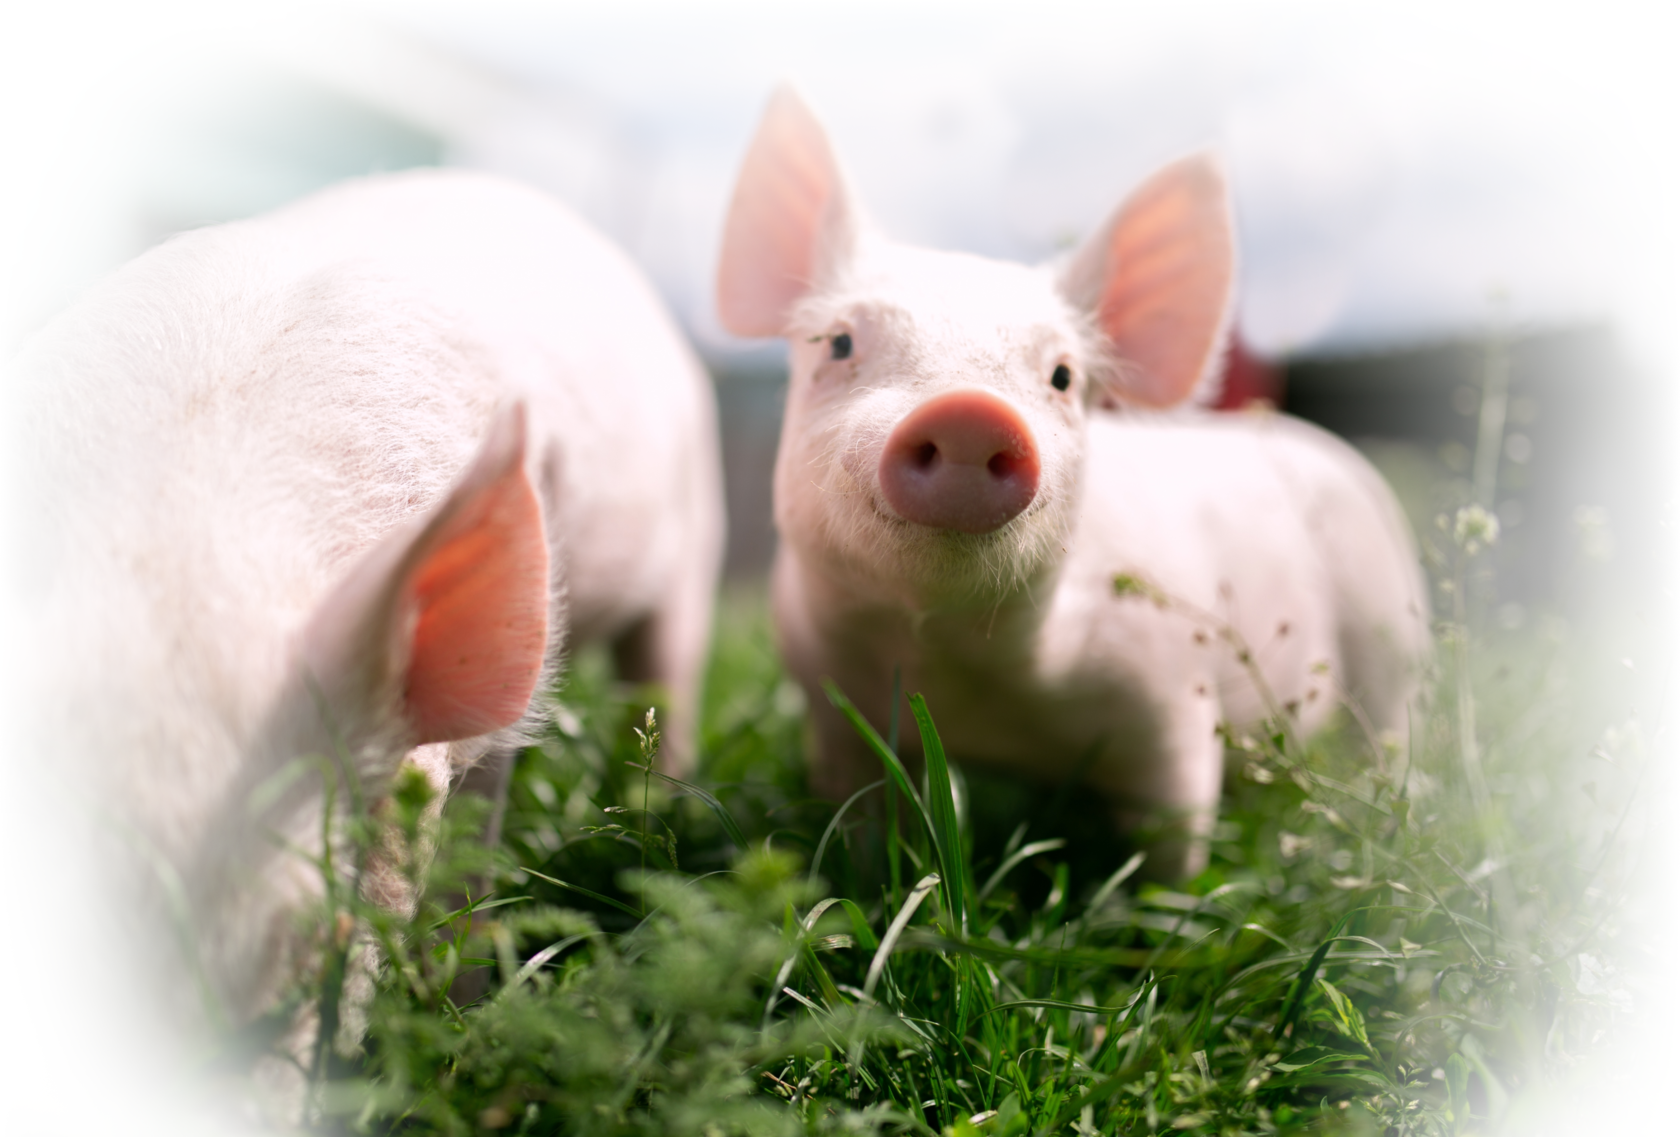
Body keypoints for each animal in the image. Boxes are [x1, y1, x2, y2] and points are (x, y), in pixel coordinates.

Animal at [716, 89, 1428, 876]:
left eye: (1061, 375)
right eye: (839, 342)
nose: (969, 411)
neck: (962, 673)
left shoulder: (1174, 704)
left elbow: (1173, 841)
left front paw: (1155, 907)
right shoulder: (832, 712)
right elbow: (862, 818)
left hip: (1391, 626)